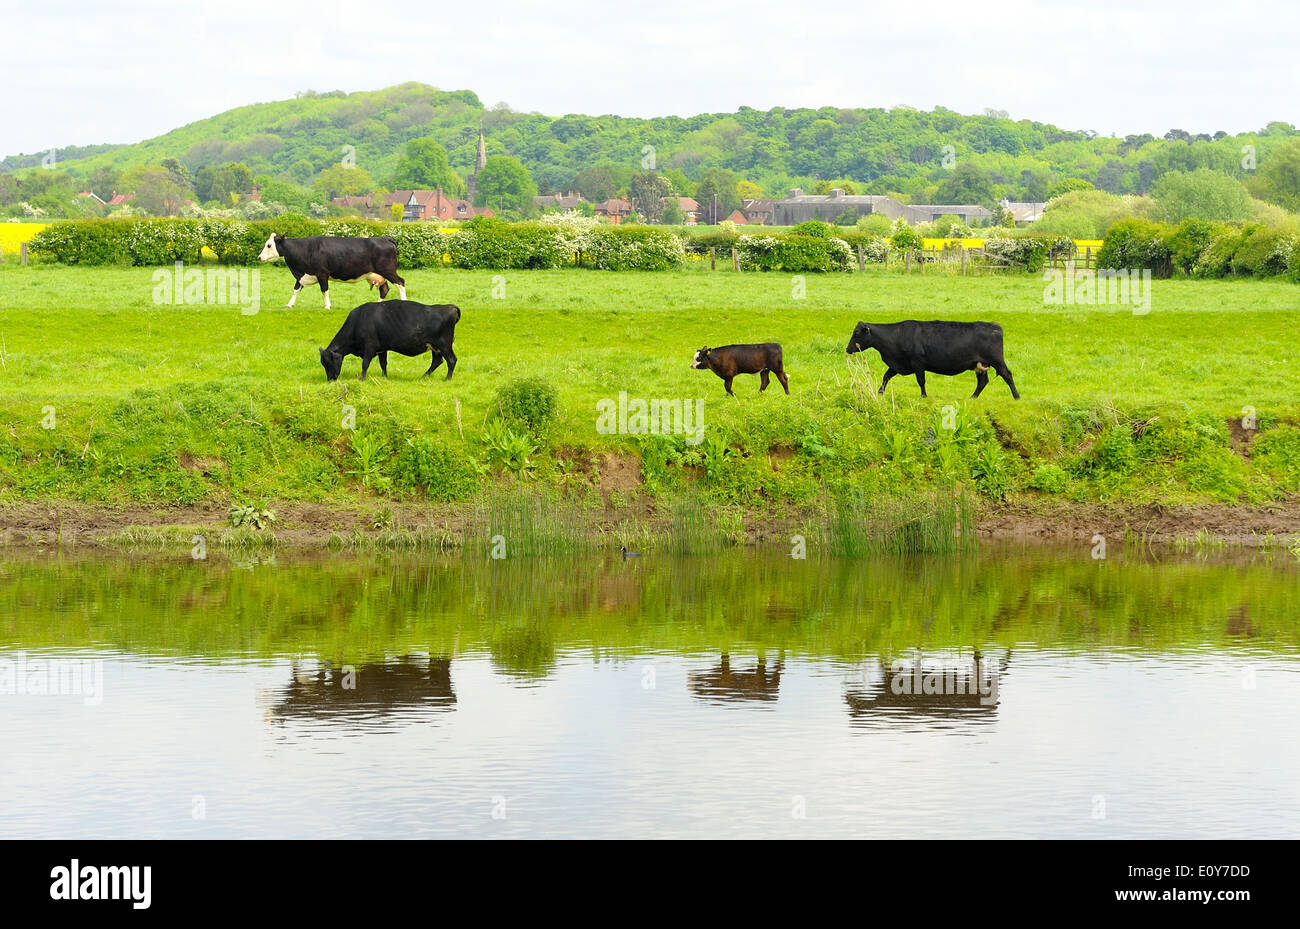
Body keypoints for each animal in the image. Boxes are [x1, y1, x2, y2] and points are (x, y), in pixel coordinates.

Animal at [259, 234, 406, 310]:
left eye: (269, 245)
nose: (260, 257)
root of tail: (385, 238)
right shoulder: (303, 275)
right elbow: (296, 289)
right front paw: (289, 304)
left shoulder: (322, 273)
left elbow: (325, 290)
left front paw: (327, 306)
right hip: (378, 275)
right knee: (384, 289)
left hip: (388, 270)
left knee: (401, 283)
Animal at [318, 300, 459, 382]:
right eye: (323, 363)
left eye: (329, 362)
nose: (330, 379)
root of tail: (449, 307)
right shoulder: (382, 348)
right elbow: (383, 363)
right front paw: (385, 377)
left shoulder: (370, 346)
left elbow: (365, 364)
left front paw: (362, 379)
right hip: (435, 347)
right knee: (437, 361)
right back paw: (423, 377)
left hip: (444, 345)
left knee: (451, 360)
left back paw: (447, 379)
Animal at [845, 320, 1020, 399]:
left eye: (857, 333)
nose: (847, 349)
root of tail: (994, 326)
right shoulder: (899, 364)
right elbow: (886, 376)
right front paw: (880, 392)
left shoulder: (917, 363)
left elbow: (921, 381)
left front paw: (924, 396)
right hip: (980, 365)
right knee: (983, 381)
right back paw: (972, 397)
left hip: (997, 360)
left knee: (1007, 375)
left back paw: (1016, 396)